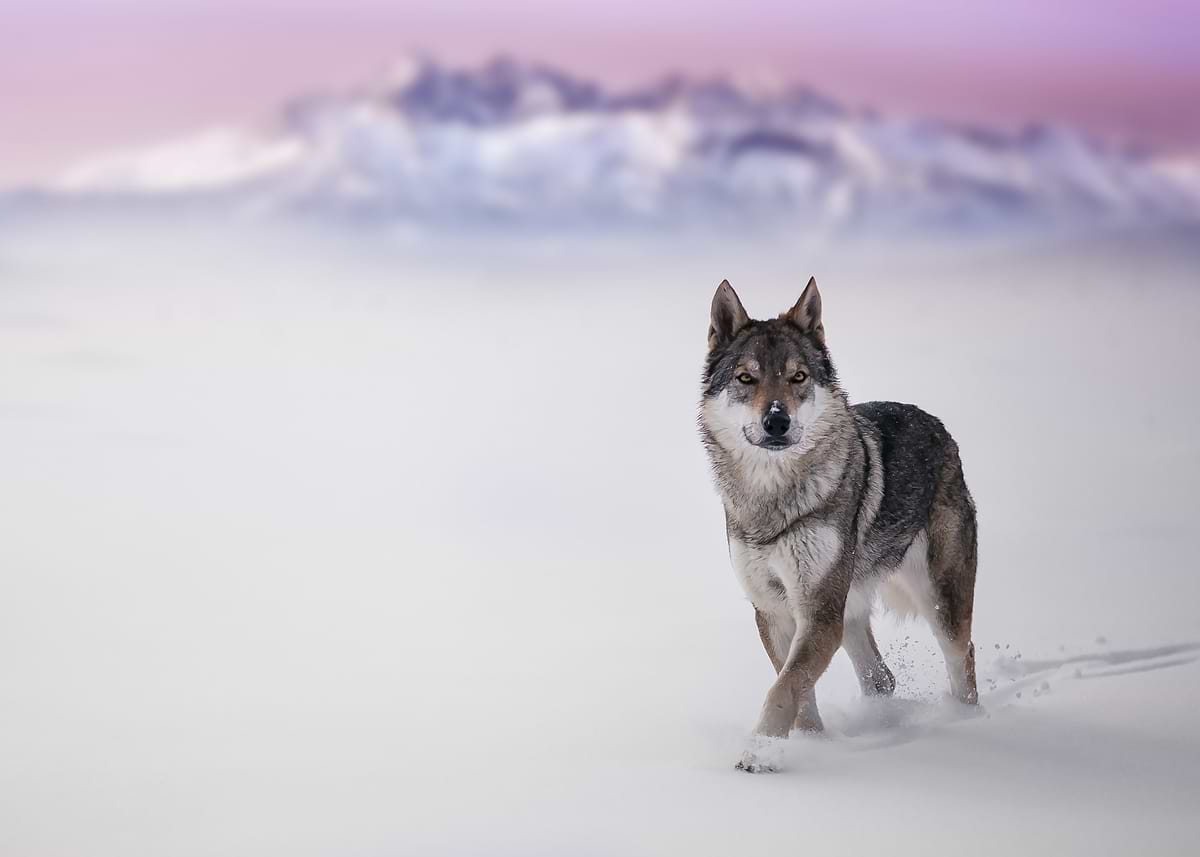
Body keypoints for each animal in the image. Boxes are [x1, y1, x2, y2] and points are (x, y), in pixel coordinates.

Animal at [699, 277, 978, 771]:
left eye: (798, 377)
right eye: (746, 378)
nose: (777, 421)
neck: (773, 500)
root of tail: (939, 426)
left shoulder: (818, 612)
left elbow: (783, 689)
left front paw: (757, 756)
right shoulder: (774, 611)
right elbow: (797, 690)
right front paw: (811, 744)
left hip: (937, 604)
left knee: (962, 657)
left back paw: (968, 724)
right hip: (849, 612)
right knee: (883, 678)